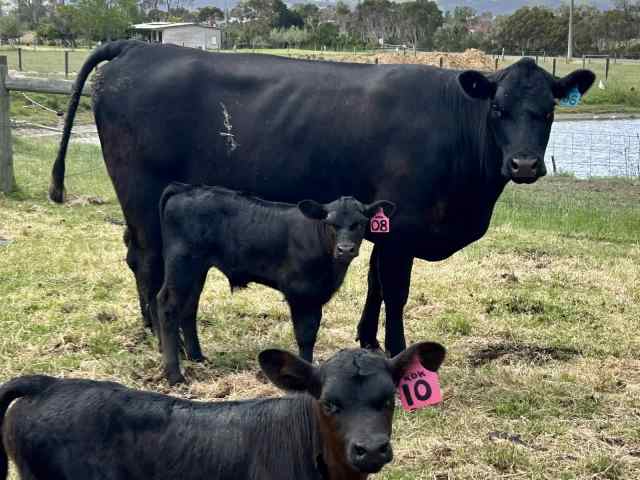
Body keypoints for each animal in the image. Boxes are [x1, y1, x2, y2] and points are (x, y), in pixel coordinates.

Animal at [49, 40, 595, 356]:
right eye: (498, 108)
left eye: (548, 111)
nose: (523, 164)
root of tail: (137, 46)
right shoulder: (404, 230)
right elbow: (395, 292)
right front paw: (396, 351)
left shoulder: (381, 226)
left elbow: (374, 286)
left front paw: (367, 340)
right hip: (140, 193)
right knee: (146, 259)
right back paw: (156, 335)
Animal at [157, 182, 395, 384]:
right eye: (330, 223)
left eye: (360, 223)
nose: (345, 249)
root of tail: (184, 188)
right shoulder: (301, 293)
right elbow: (306, 335)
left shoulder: (315, 295)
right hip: (181, 264)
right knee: (168, 306)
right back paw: (175, 375)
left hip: (196, 269)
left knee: (189, 306)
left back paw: (197, 357)